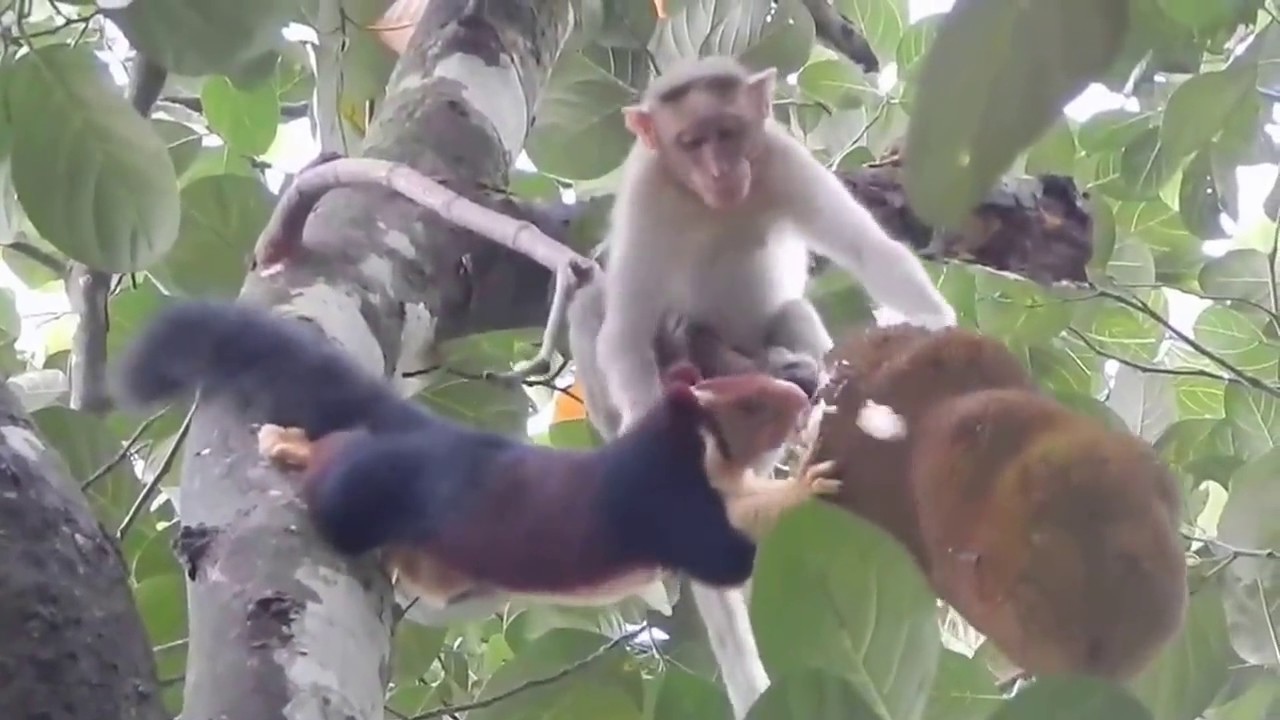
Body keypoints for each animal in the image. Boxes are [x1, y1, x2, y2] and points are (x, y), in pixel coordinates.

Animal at [113, 300, 839, 610]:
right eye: (749, 404)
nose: (802, 394)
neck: (689, 445)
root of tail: (443, 438)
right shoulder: (664, 499)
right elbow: (729, 558)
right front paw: (809, 480)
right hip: (375, 486)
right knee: (340, 471)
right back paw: (291, 446)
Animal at [595, 55, 956, 435]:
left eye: (728, 132)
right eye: (692, 142)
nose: (720, 171)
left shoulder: (781, 156)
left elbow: (868, 251)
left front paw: (938, 326)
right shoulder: (646, 191)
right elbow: (628, 328)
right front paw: (642, 415)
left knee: (792, 311)